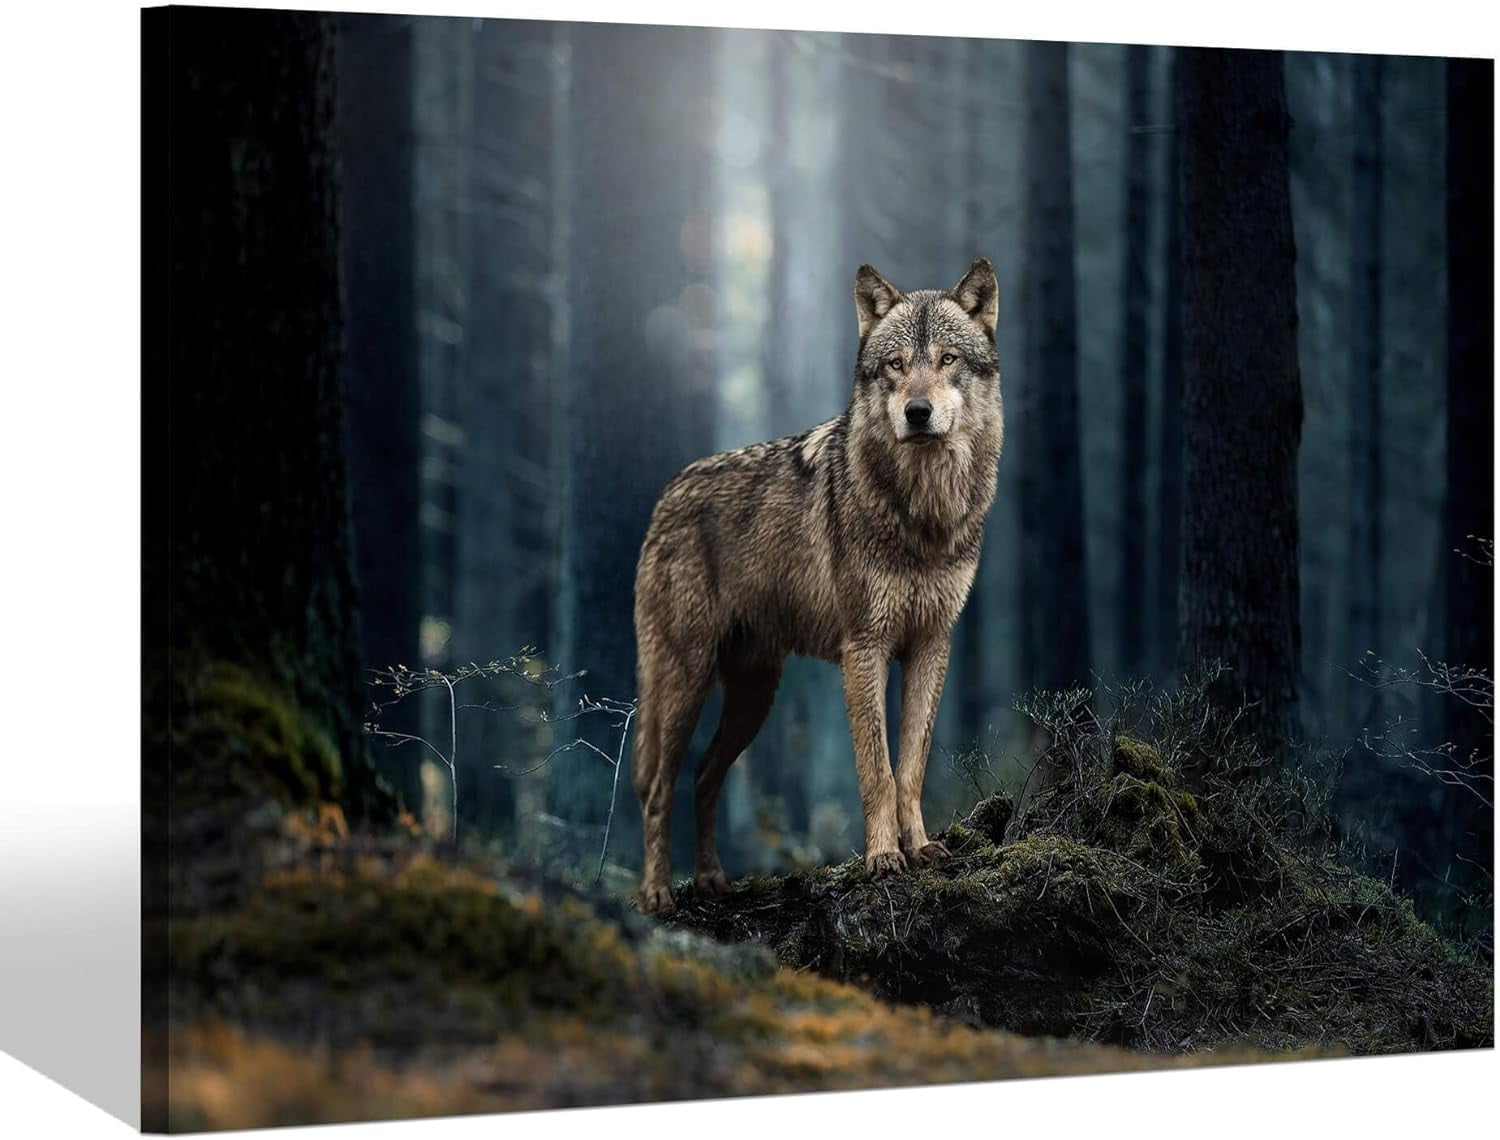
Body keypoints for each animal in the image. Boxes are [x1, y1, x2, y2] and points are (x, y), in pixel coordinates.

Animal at [631, 258, 1004, 914]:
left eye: (948, 359)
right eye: (896, 364)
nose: (917, 412)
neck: (923, 516)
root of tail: (668, 493)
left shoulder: (931, 647)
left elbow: (910, 766)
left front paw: (920, 849)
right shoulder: (864, 649)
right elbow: (876, 769)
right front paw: (882, 858)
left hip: (754, 696)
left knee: (704, 777)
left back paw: (711, 879)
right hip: (685, 681)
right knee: (658, 786)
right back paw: (657, 892)